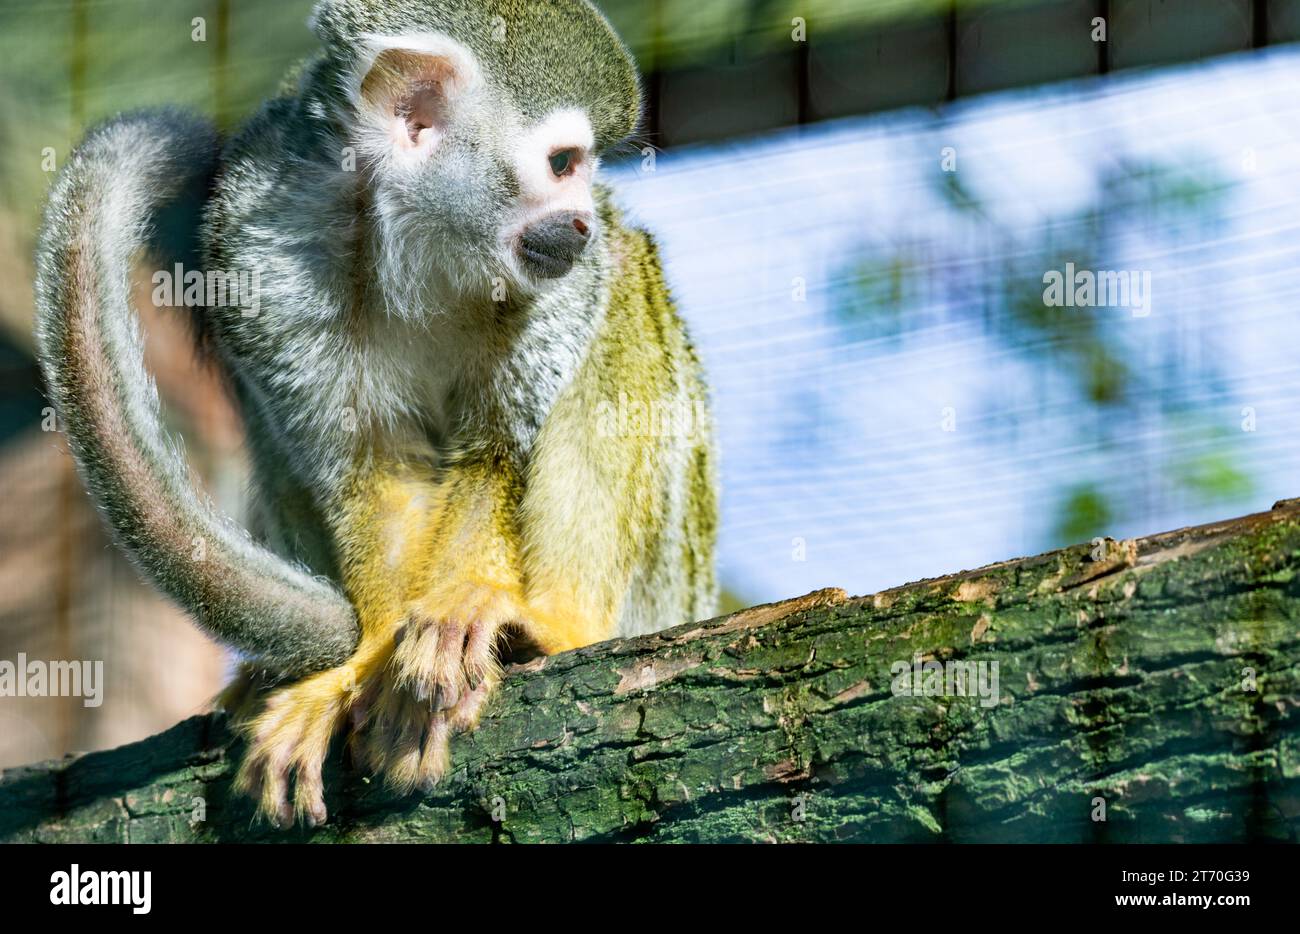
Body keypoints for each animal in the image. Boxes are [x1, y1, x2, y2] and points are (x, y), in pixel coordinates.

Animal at [34, 0, 717, 827]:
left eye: (588, 170)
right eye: (563, 164)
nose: (584, 220)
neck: (417, 238)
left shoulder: (554, 276)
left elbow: (495, 455)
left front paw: (461, 619)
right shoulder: (262, 239)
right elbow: (371, 471)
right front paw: (360, 662)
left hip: (669, 581)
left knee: (620, 281)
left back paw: (555, 627)